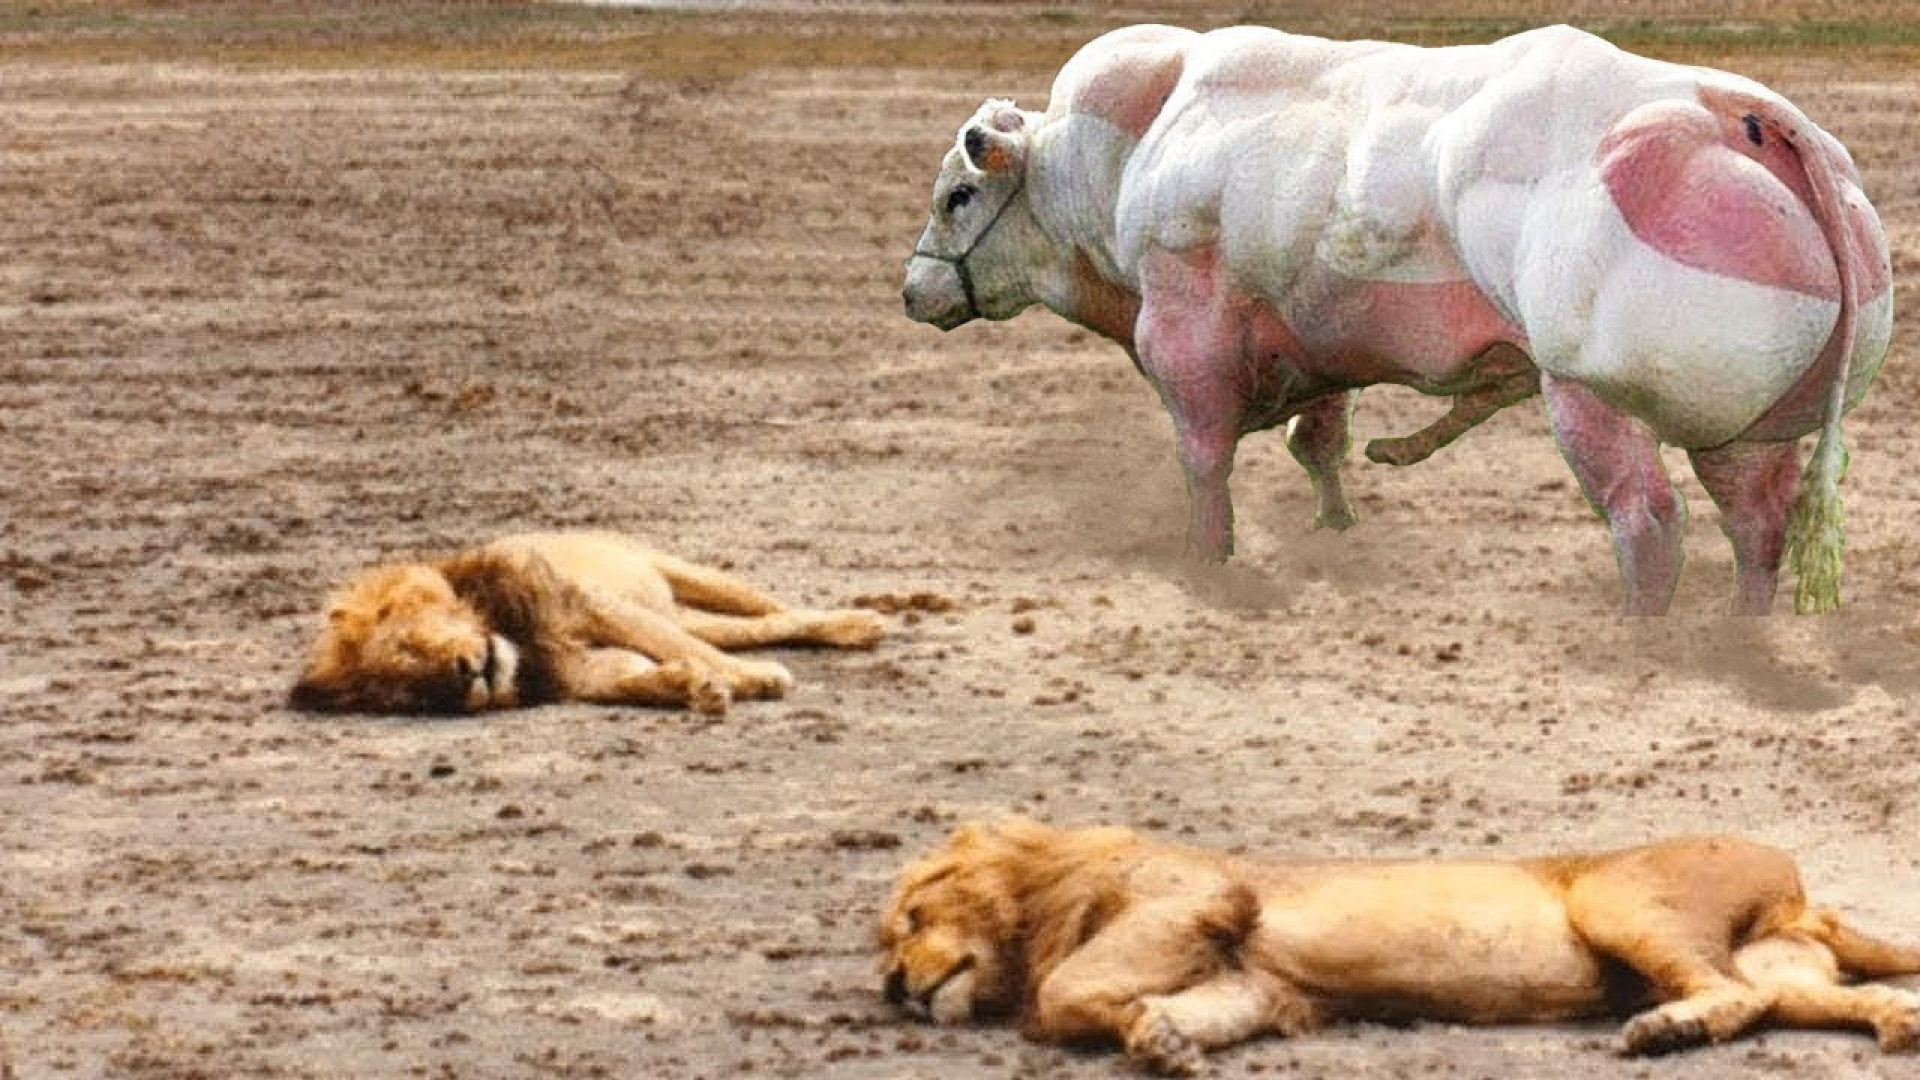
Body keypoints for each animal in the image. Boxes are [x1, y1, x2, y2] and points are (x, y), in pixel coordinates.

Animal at [290, 530, 885, 715]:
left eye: (411, 647)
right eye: (415, 693)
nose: (463, 674)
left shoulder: (592, 606)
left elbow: (678, 647)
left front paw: (755, 678)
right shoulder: (581, 668)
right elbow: (637, 674)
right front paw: (693, 686)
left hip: (679, 570)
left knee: (772, 611)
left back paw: (858, 623)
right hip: (684, 608)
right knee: (744, 629)